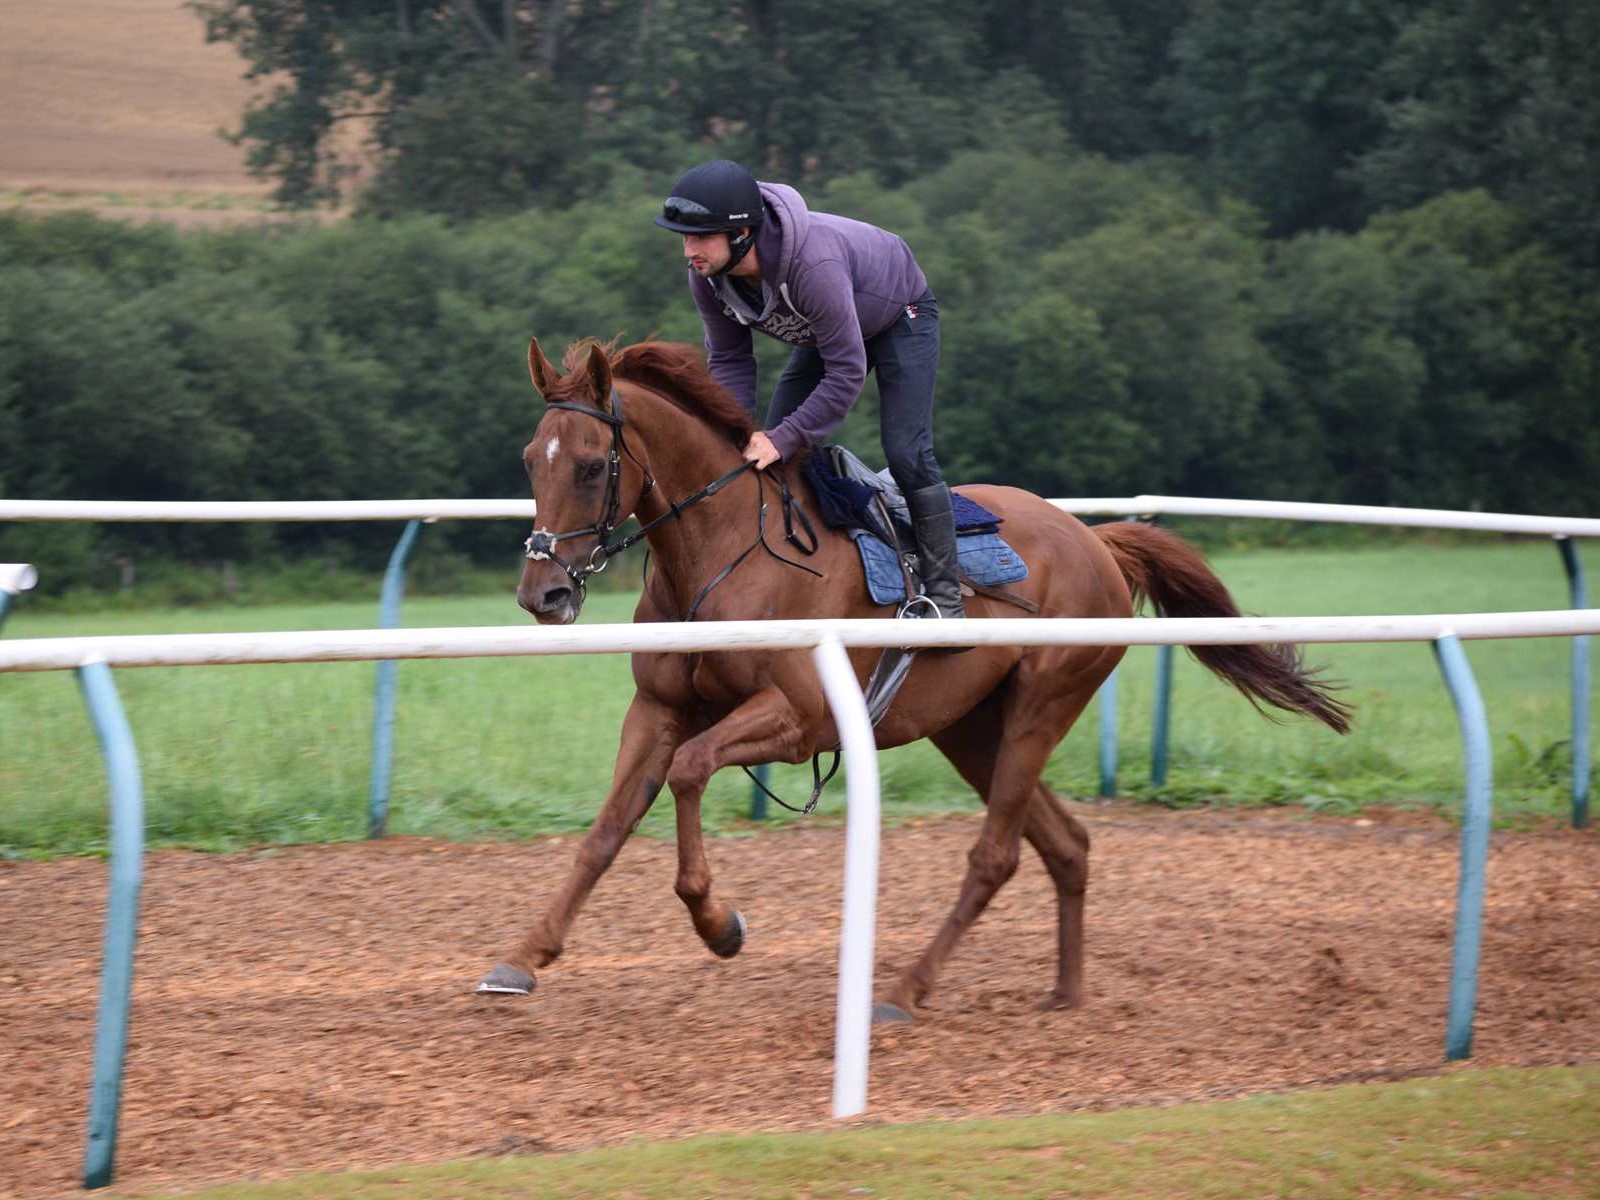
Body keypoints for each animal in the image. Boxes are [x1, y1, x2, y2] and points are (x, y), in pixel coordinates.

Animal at [478, 336, 1351, 1019]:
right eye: (528, 461)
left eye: (592, 466)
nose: (541, 594)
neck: (724, 551)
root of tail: (1097, 541)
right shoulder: (658, 707)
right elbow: (606, 830)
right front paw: (523, 956)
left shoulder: (800, 717)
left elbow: (692, 772)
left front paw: (719, 923)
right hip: (970, 726)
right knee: (1065, 844)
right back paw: (1065, 994)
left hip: (1043, 703)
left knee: (997, 855)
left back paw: (904, 989)